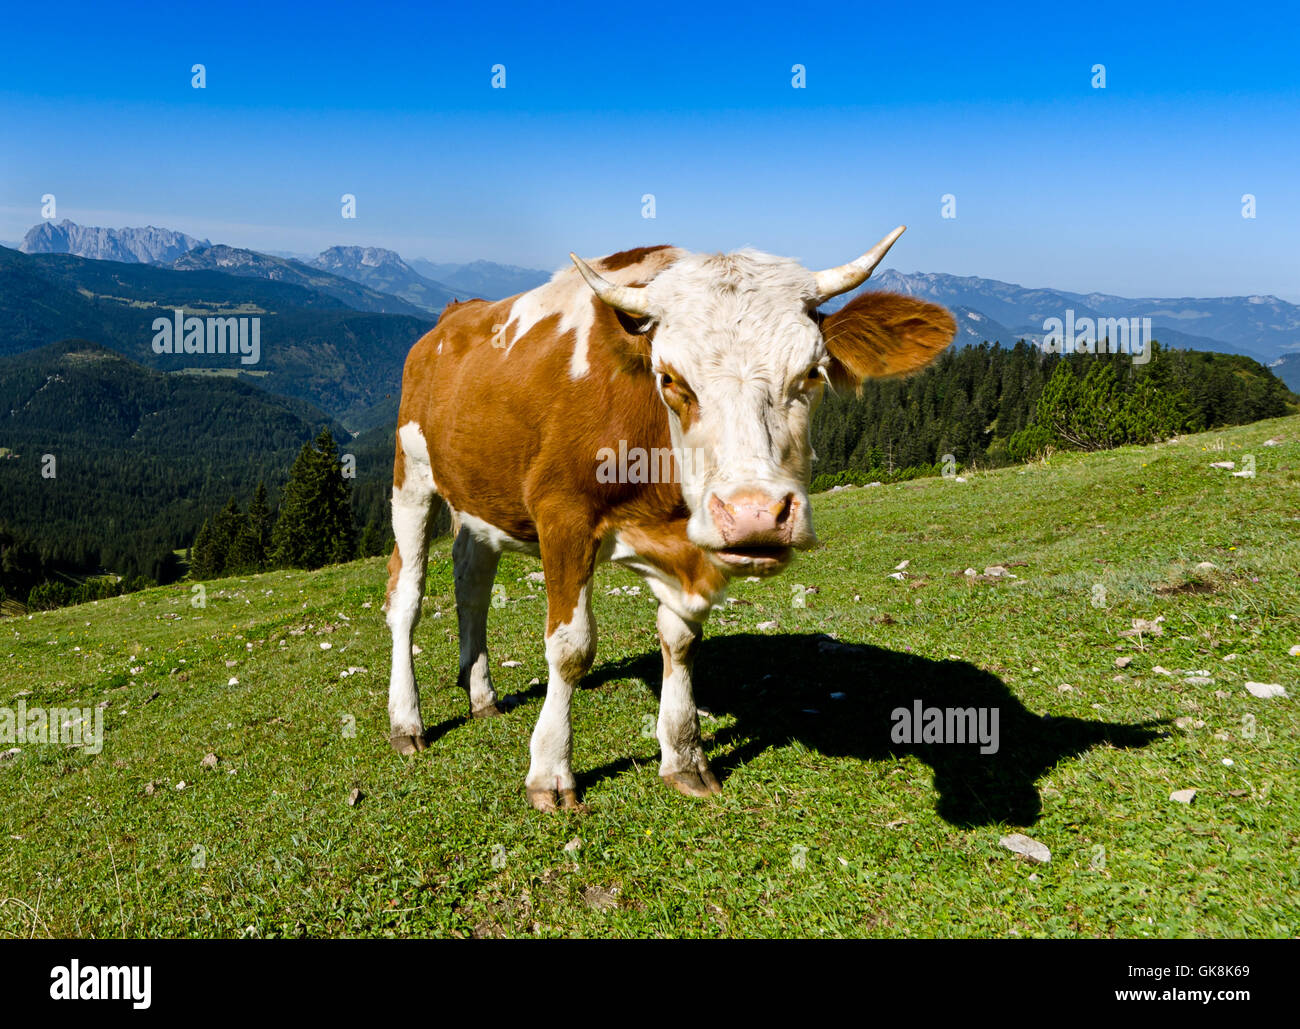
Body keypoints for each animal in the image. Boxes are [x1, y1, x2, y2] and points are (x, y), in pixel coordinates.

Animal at [383, 227, 956, 811]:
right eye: (671, 379)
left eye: (812, 373)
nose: (754, 514)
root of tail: (454, 314)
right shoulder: (562, 515)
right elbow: (570, 648)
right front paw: (550, 771)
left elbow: (680, 640)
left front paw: (683, 756)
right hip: (412, 476)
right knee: (405, 598)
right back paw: (407, 722)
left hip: (479, 499)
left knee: (471, 584)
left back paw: (481, 695)